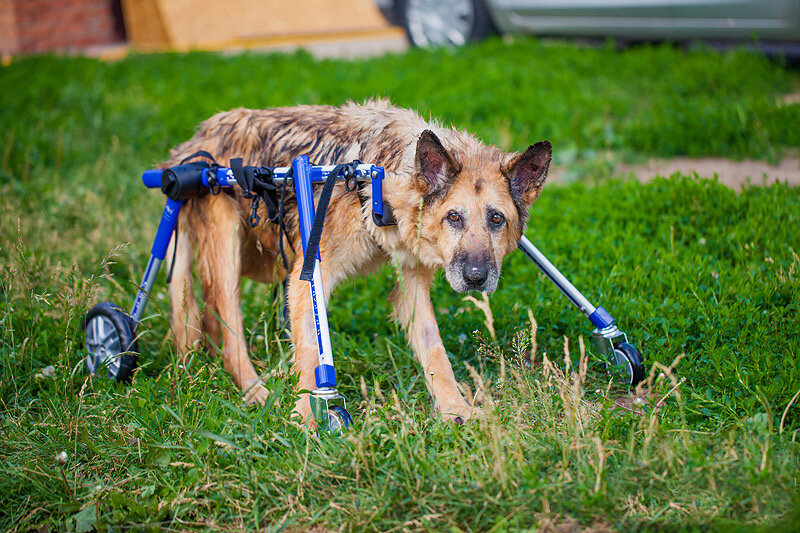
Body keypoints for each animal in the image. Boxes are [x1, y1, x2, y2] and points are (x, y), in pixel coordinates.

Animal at [164, 100, 552, 424]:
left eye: (496, 219)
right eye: (453, 217)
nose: (475, 278)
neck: (380, 182)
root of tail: (188, 146)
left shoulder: (412, 285)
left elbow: (436, 352)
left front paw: (455, 409)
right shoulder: (308, 276)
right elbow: (311, 354)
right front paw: (306, 419)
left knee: (213, 322)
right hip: (229, 251)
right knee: (227, 329)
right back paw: (255, 391)